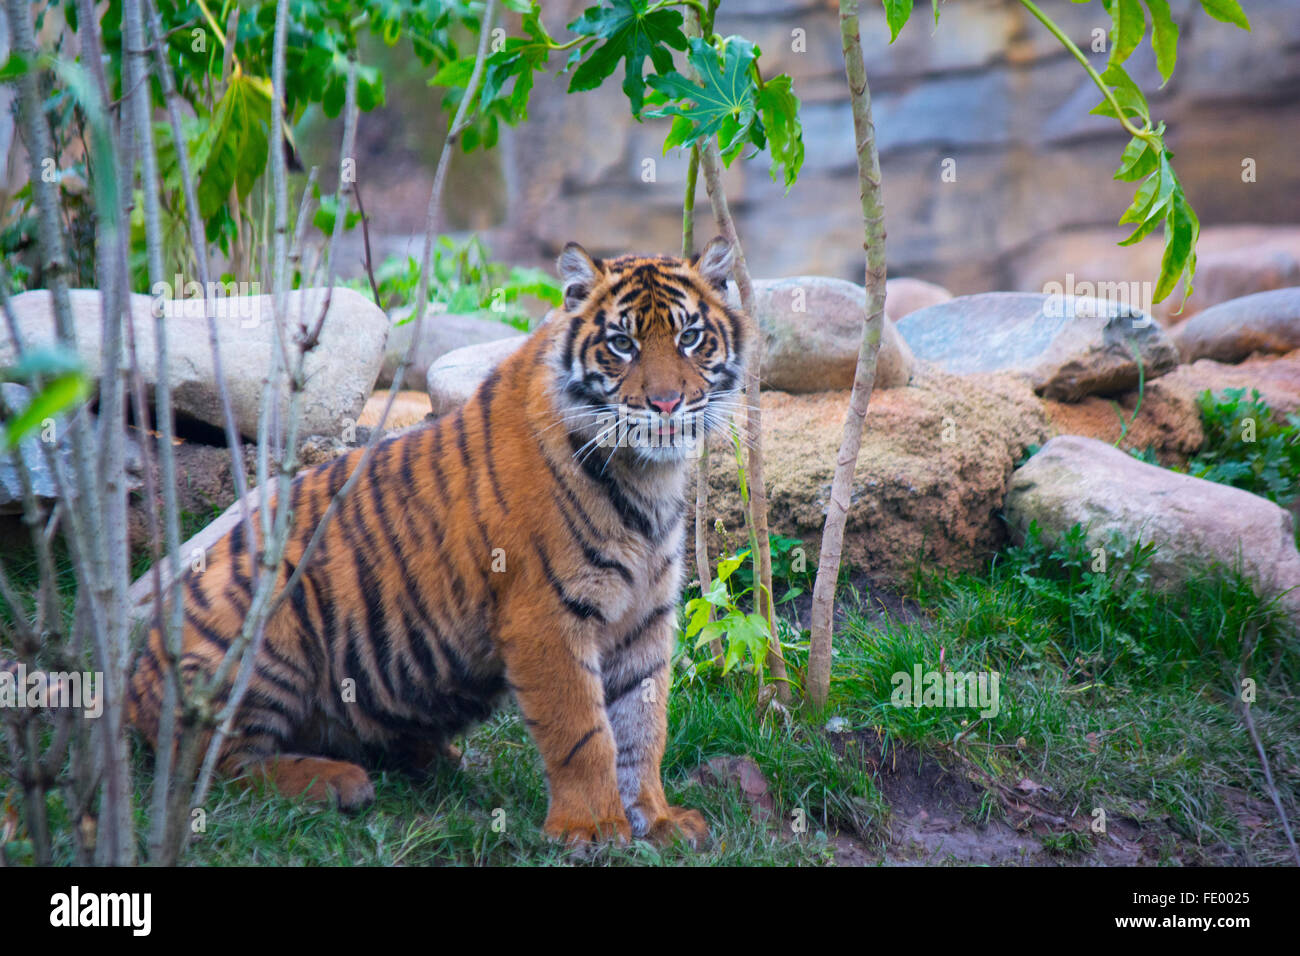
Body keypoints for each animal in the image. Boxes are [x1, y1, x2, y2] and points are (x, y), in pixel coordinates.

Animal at [127, 236, 753, 847]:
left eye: (690, 337)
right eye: (622, 344)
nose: (666, 404)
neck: (646, 478)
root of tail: (133, 684)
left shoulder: (645, 617)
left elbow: (641, 732)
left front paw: (656, 820)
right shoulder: (547, 615)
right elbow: (584, 733)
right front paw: (593, 828)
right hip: (268, 617)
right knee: (211, 763)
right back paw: (336, 782)